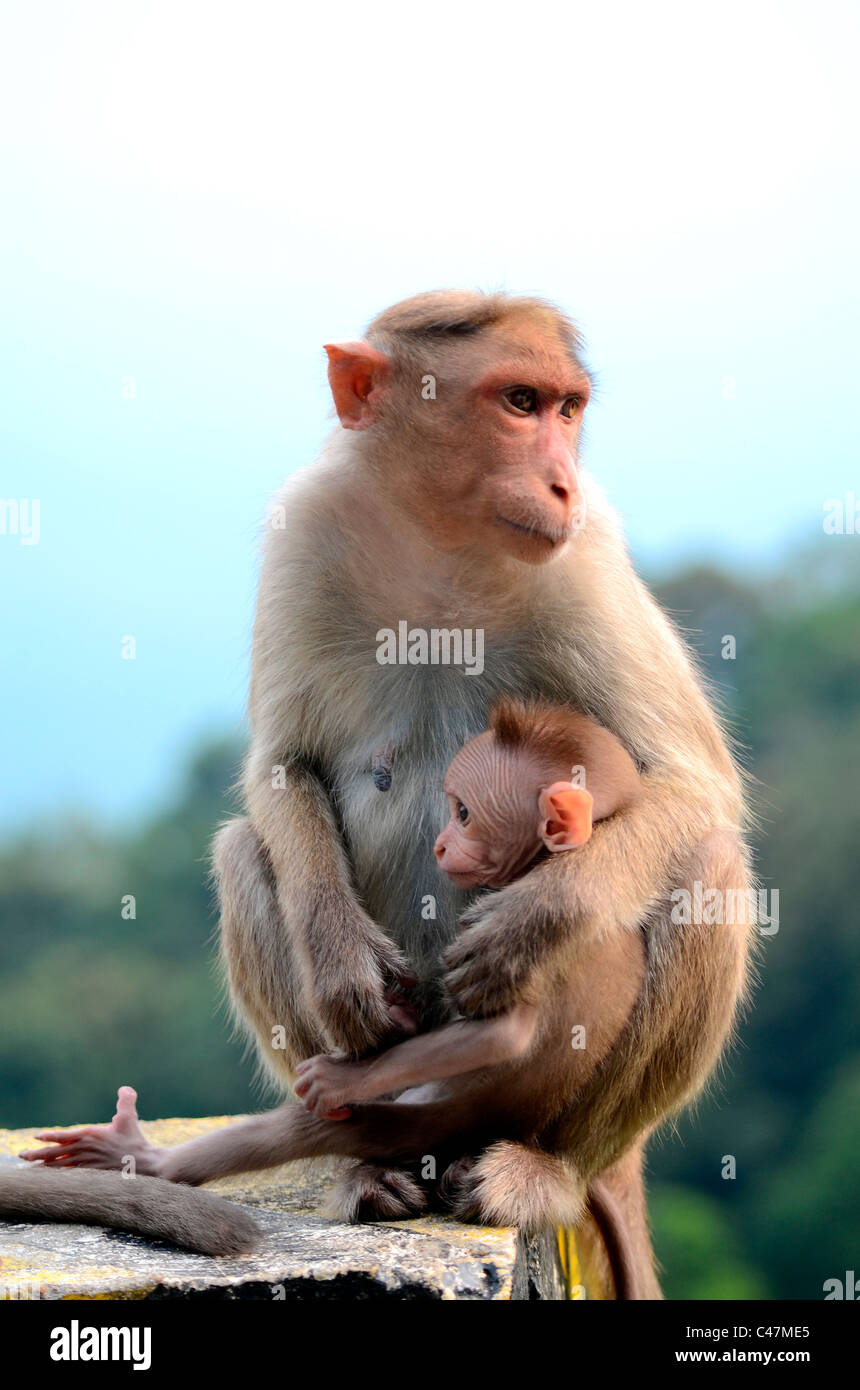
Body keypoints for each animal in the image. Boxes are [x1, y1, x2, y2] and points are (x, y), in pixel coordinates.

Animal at [1, 293, 754, 1296]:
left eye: (567, 409)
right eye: (520, 402)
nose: (561, 480)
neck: (442, 533)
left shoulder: (586, 555)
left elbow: (695, 787)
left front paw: (535, 919)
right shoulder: (307, 526)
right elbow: (283, 764)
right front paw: (341, 962)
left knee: (710, 863)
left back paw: (546, 1169)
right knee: (244, 850)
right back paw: (362, 1170)